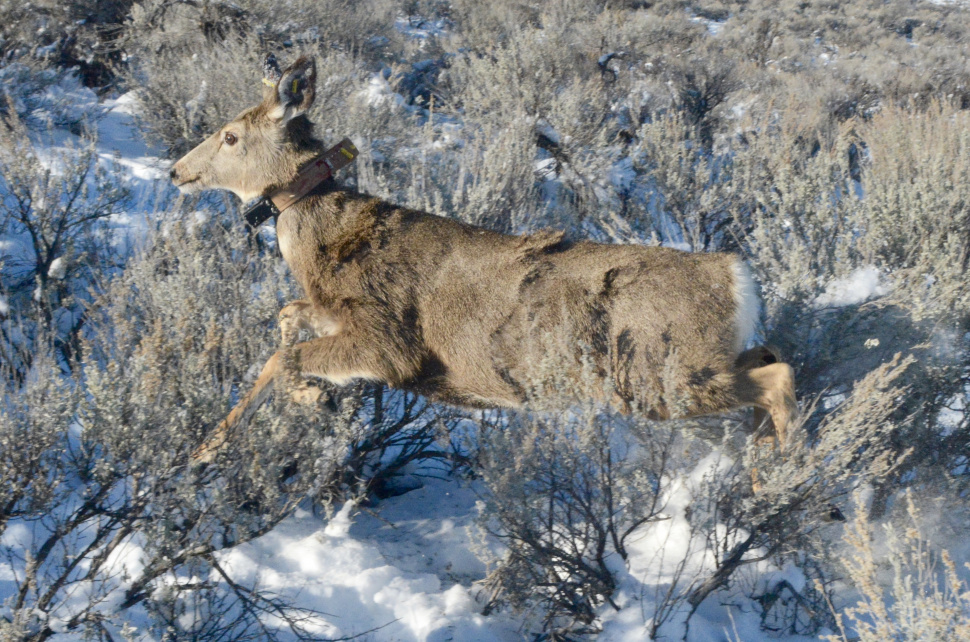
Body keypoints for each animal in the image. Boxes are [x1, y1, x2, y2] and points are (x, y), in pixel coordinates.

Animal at [170, 55, 797, 469]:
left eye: (229, 136)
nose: (177, 171)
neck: (325, 243)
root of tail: (736, 276)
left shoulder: (390, 341)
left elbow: (284, 357)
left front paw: (219, 442)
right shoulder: (334, 313)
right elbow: (285, 320)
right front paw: (284, 411)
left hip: (655, 376)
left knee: (777, 378)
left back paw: (777, 481)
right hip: (688, 366)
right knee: (770, 357)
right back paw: (764, 462)